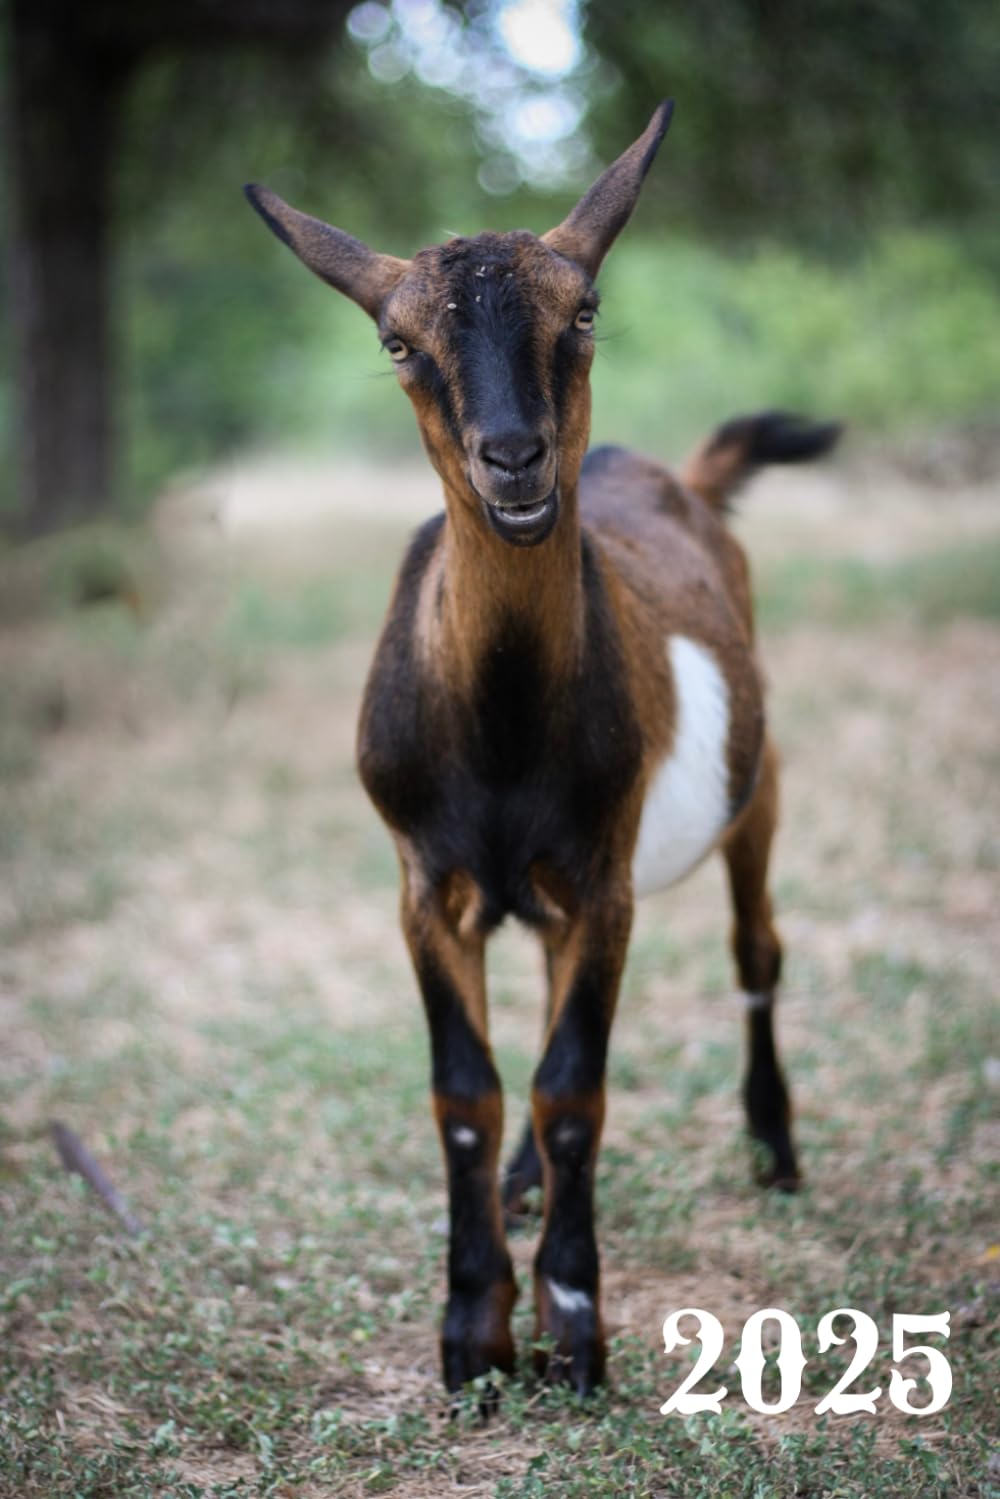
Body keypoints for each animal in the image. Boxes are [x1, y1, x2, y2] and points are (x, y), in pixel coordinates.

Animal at [246, 100, 840, 1397]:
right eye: (398, 341)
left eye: (585, 310)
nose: (514, 460)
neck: (503, 735)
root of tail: (676, 474)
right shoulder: (425, 882)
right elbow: (465, 1087)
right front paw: (474, 1327)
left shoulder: (600, 875)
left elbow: (574, 1085)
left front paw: (572, 1325)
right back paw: (522, 1190)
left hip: (756, 789)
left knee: (754, 946)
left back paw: (774, 1143)